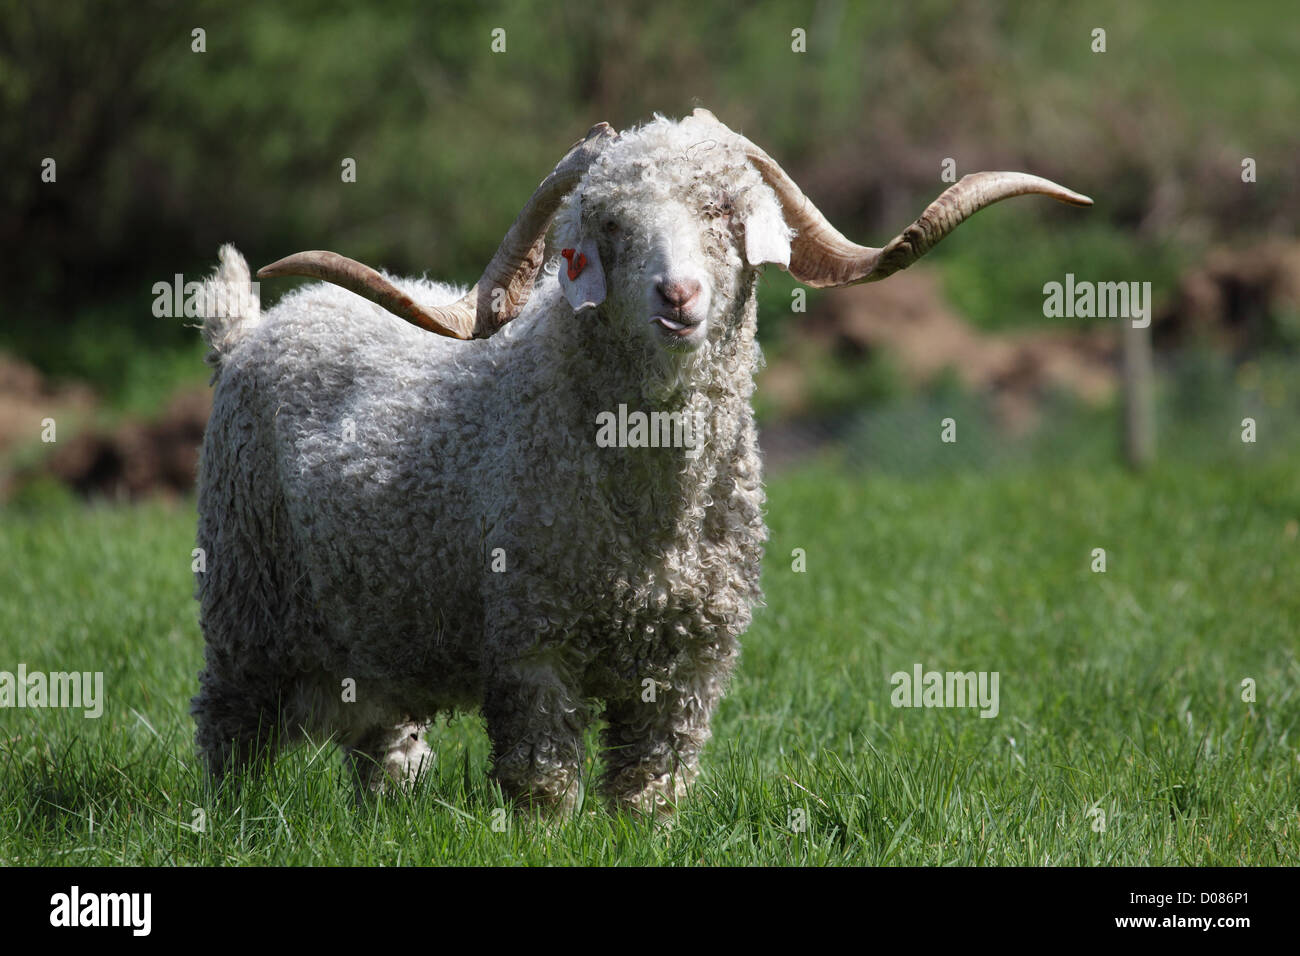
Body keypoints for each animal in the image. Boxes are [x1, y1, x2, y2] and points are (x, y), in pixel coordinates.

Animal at [192, 109, 1090, 814]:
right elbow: (544, 787)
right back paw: (235, 821)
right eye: (611, 227)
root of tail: (250, 330)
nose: (679, 298)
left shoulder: (690, 661)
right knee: (229, 736)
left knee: (381, 748)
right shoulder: (532, 646)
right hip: (244, 606)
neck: (651, 522)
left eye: (724, 209)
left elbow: (648, 792)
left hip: (376, 630)